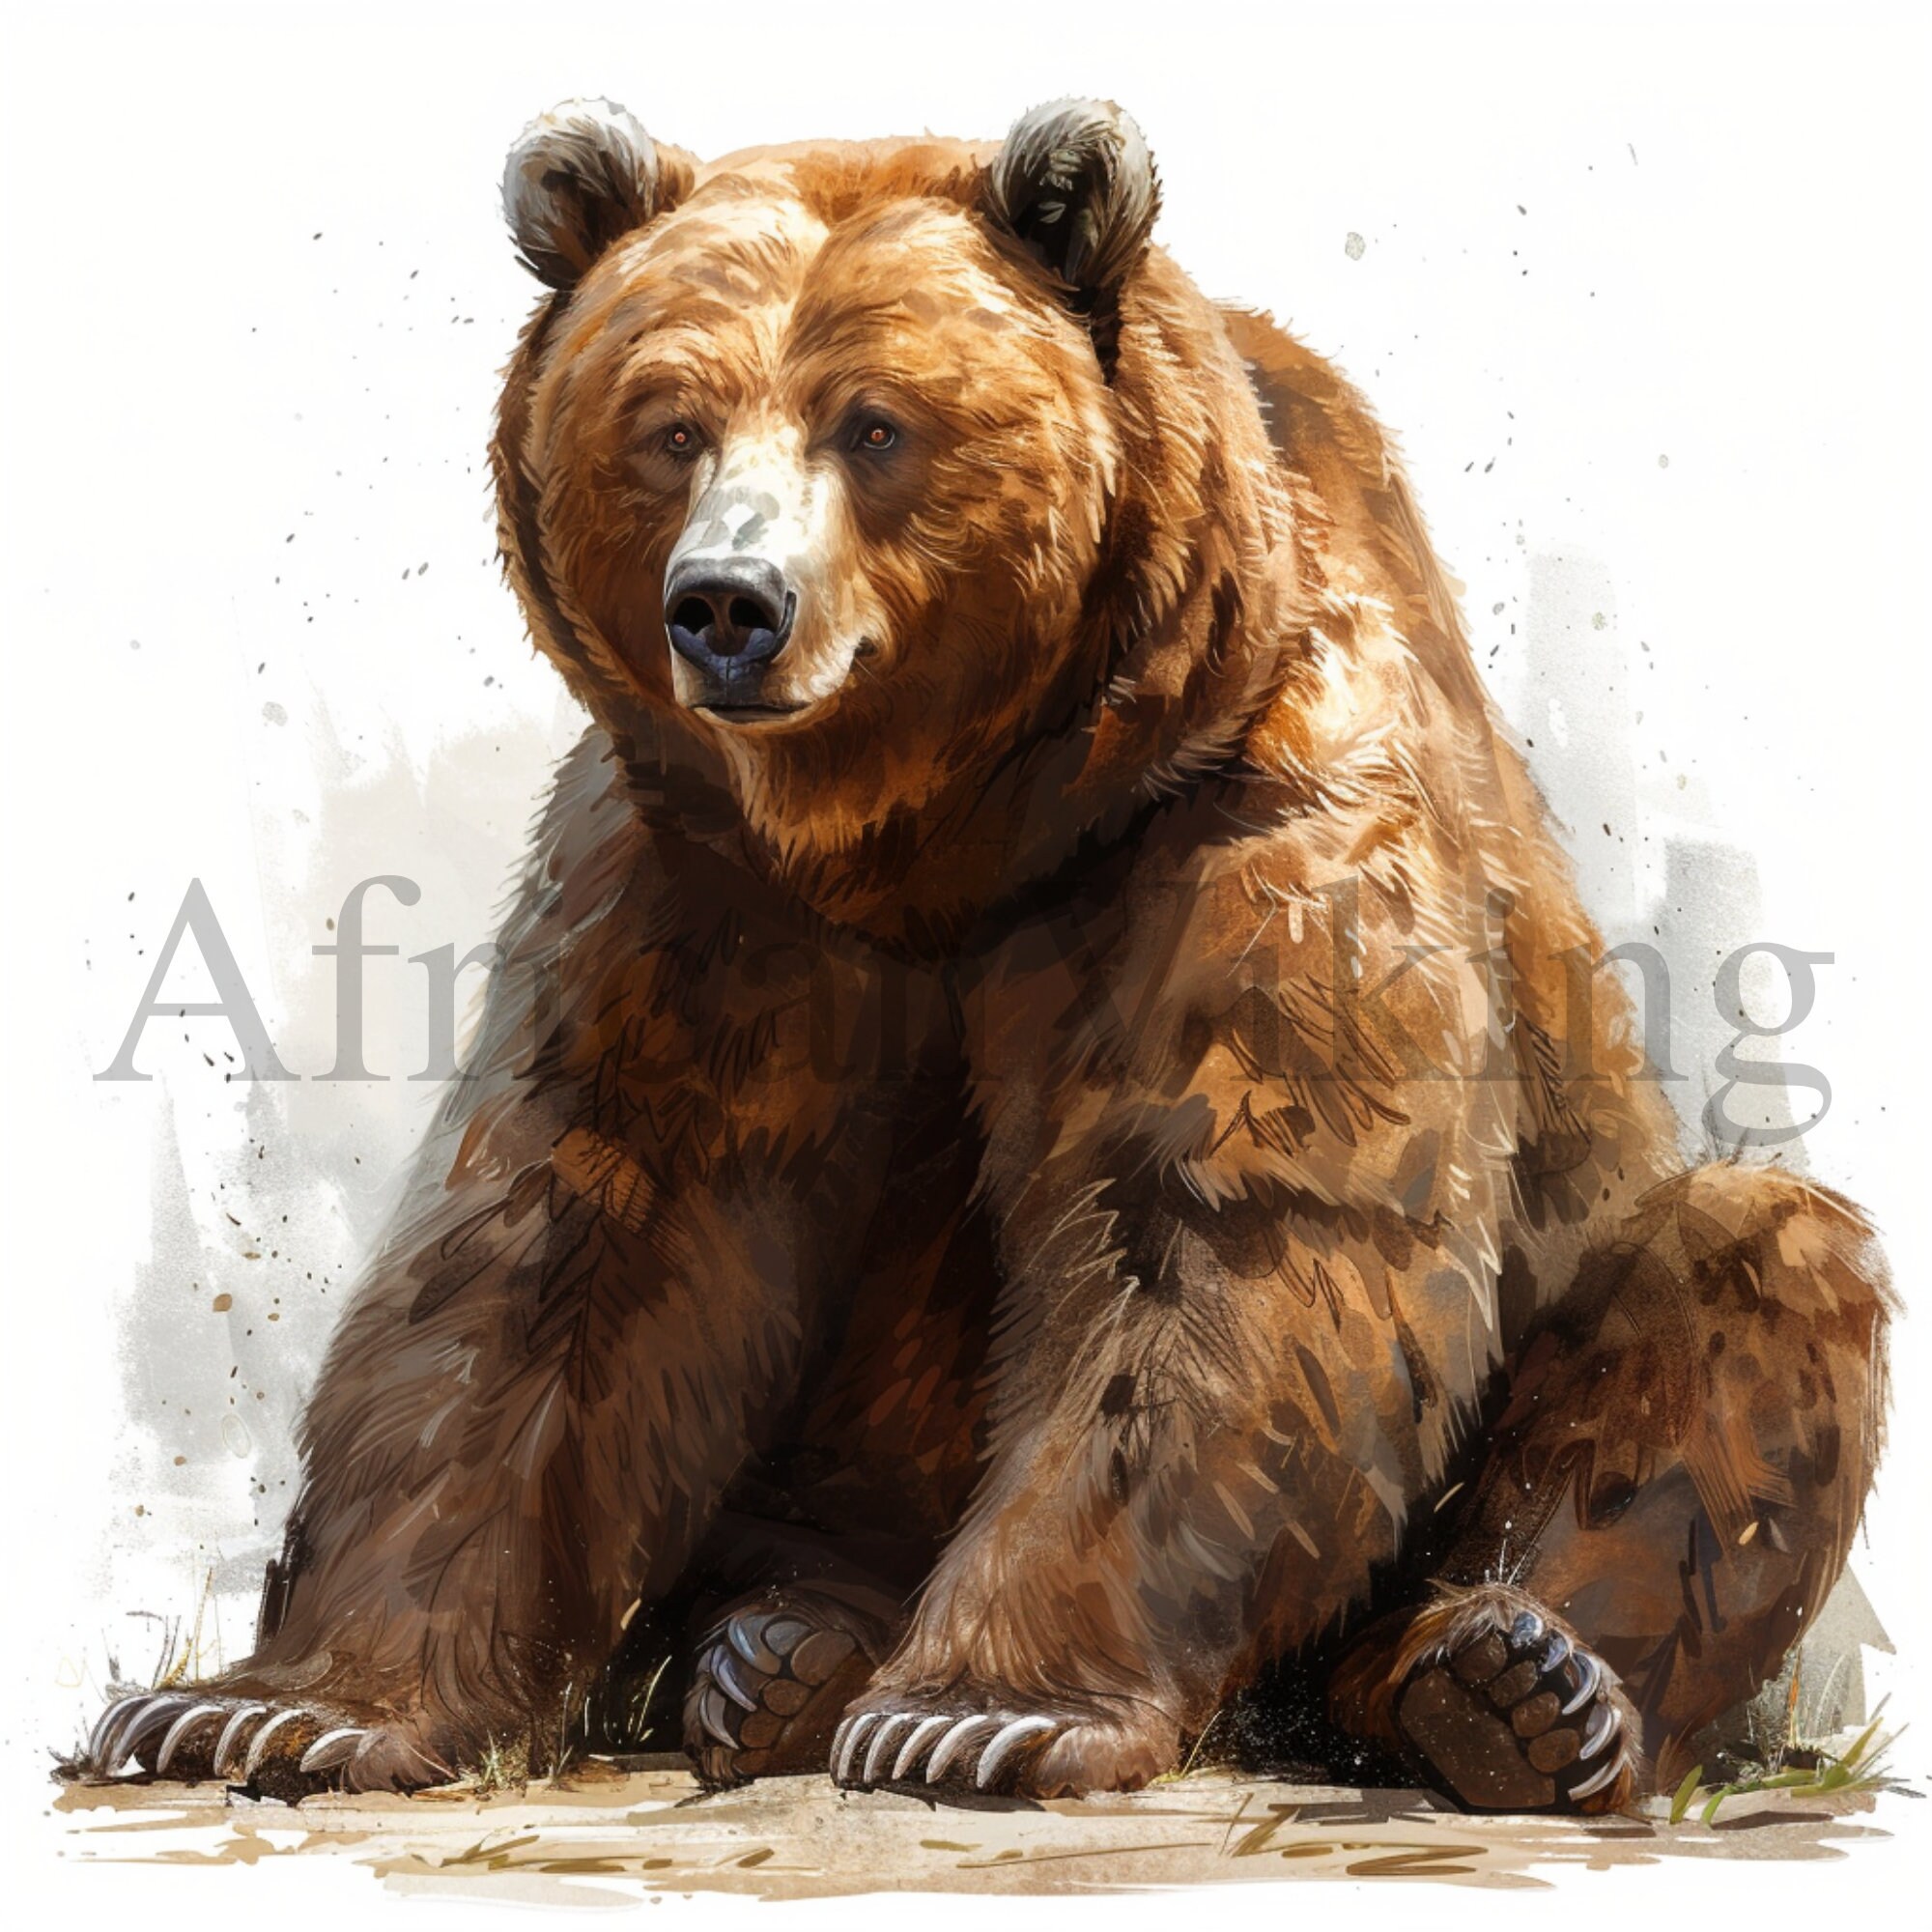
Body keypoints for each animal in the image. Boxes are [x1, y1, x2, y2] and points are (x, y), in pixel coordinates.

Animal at [84, 96, 1891, 1813]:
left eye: (875, 424)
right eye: (670, 426)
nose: (725, 606)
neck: (931, 833)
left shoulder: (1235, 803)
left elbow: (1221, 1227)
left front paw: (981, 1713)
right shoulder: (694, 883)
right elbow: (567, 1239)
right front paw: (266, 1707)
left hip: (1584, 1287)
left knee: (1755, 1276)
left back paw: (1513, 1684)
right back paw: (776, 1653)